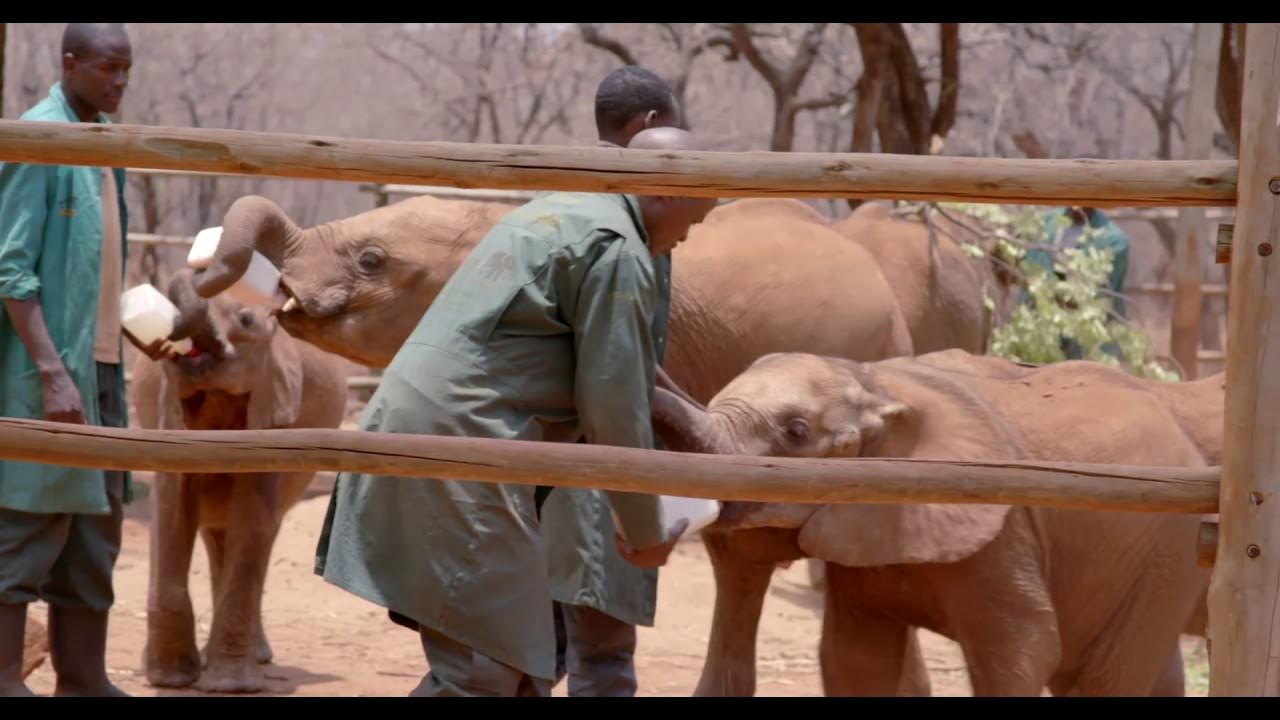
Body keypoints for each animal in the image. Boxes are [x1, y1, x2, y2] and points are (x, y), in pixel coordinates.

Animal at [129, 269, 349, 693]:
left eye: (246, 321)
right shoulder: (170, 413)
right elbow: (171, 506)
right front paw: (169, 680)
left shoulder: (273, 411)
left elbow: (252, 515)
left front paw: (230, 687)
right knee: (215, 534)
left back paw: (255, 659)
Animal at [650, 349, 1217, 696]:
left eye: (796, 430)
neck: (876, 383)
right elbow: (855, 656)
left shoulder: (1000, 525)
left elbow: (1022, 649)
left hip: (1166, 548)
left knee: (1101, 676)